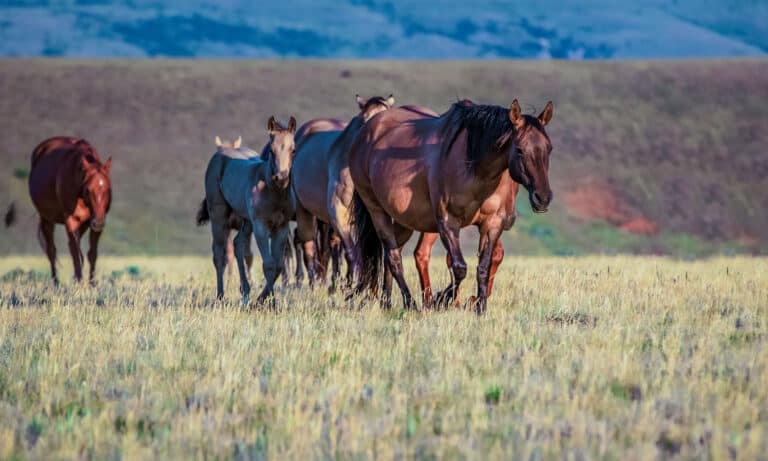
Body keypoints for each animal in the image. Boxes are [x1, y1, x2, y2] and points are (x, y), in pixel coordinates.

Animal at [28, 137, 112, 285]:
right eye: (88, 190)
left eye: (107, 189)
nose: (97, 222)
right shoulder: (70, 219)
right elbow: (75, 252)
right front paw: (79, 282)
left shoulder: (94, 222)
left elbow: (92, 253)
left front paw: (91, 284)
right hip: (46, 219)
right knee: (52, 250)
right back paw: (56, 283)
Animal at [199, 117, 297, 304]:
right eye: (271, 150)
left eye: (293, 150)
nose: (281, 177)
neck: (274, 193)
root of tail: (220, 155)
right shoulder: (261, 226)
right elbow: (269, 264)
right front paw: (265, 302)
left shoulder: (281, 227)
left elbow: (278, 264)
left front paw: (266, 300)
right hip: (219, 216)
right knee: (219, 253)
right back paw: (221, 296)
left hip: (246, 221)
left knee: (238, 245)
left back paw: (245, 291)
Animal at [291, 94, 395, 291]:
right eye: (364, 121)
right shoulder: (339, 214)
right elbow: (353, 254)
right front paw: (355, 286)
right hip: (304, 211)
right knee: (310, 249)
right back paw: (315, 285)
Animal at [349, 99, 554, 313]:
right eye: (520, 149)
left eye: (549, 148)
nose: (543, 198)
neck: (475, 169)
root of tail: (366, 132)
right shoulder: (448, 222)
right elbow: (459, 267)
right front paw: (444, 299)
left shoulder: (493, 224)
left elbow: (483, 266)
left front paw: (480, 307)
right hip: (377, 210)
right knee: (394, 257)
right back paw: (410, 302)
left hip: (404, 220)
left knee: (393, 255)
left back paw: (387, 302)